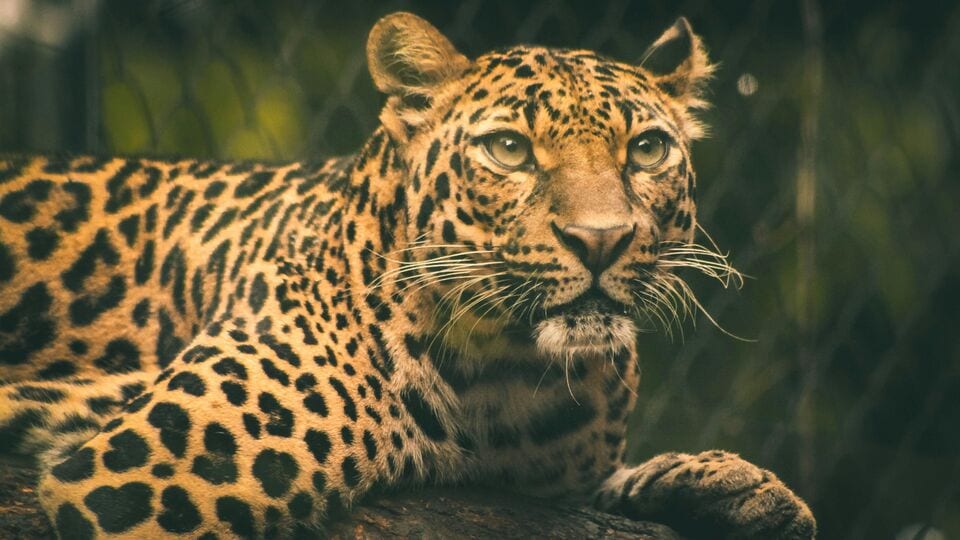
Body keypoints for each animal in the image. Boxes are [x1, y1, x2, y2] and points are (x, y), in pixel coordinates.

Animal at [0, 12, 816, 539]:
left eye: (647, 149)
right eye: (509, 149)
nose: (601, 240)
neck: (509, 382)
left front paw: (732, 485)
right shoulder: (139, 480)